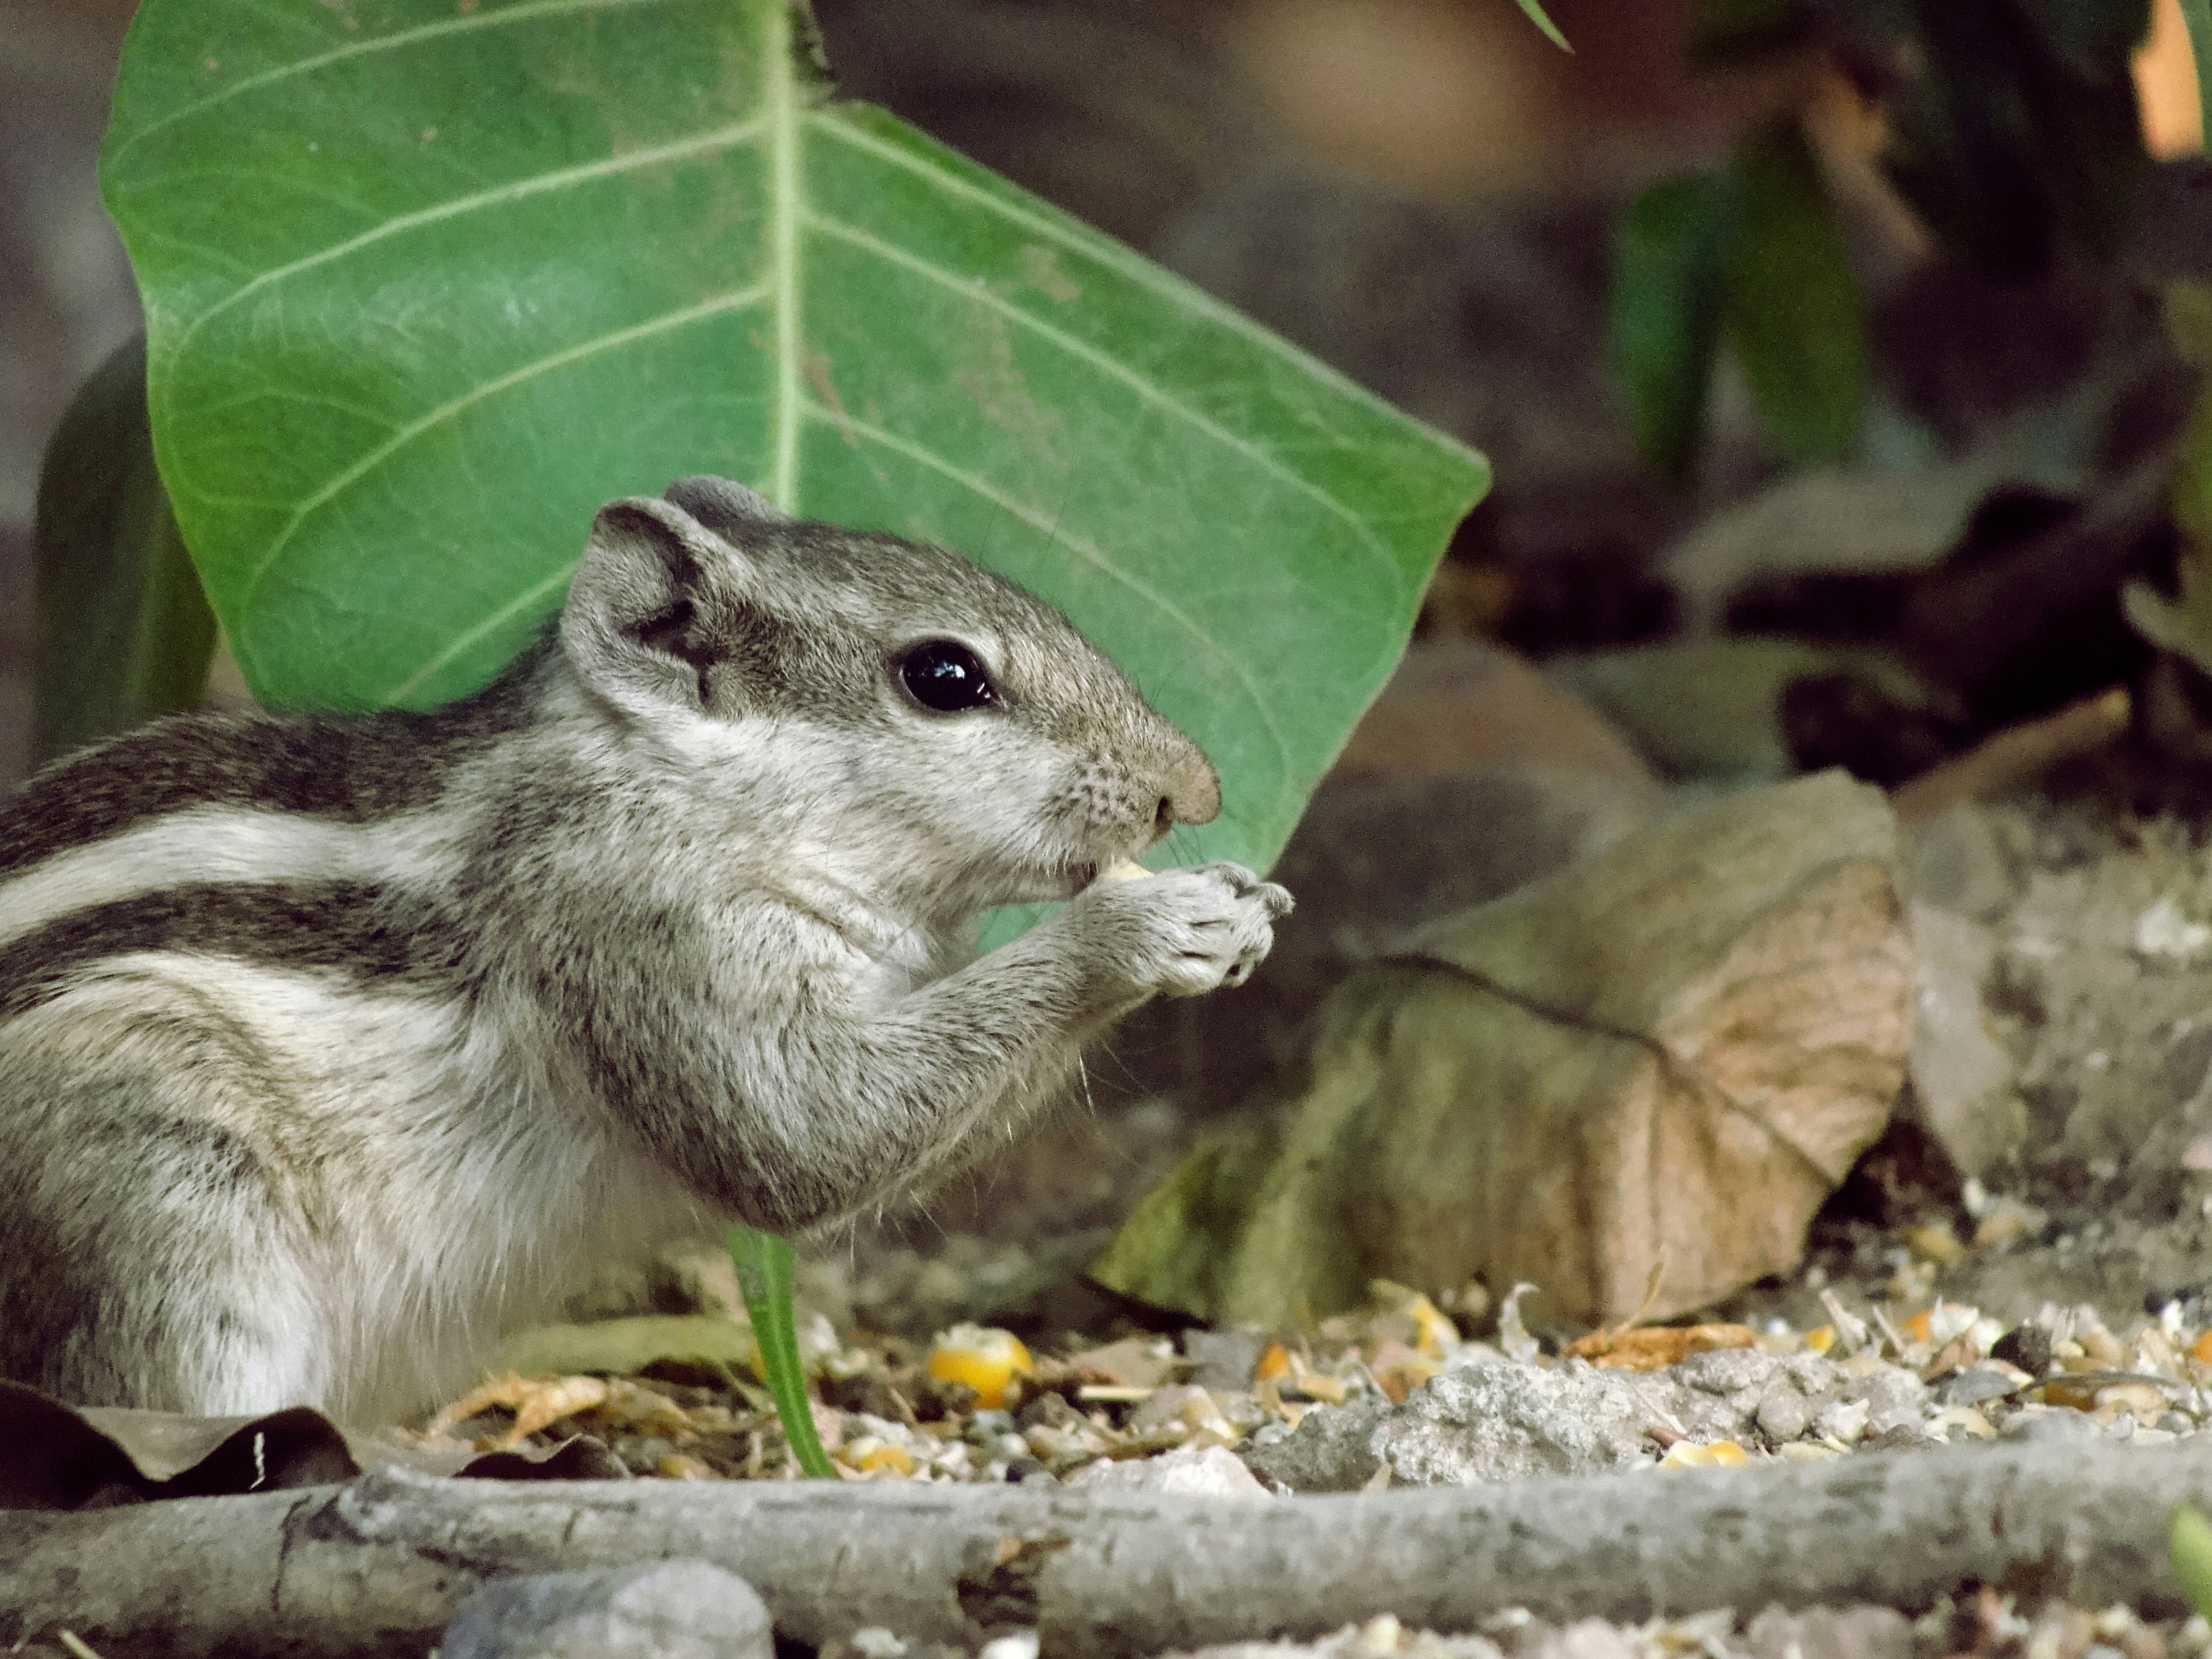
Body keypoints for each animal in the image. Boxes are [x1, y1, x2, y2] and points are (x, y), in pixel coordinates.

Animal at [0, 476, 1290, 1423]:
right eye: (943, 676)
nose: (1192, 789)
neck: (674, 783)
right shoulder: (632, 930)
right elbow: (800, 1140)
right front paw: (1140, 927)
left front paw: (1246, 901)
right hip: (160, 1209)